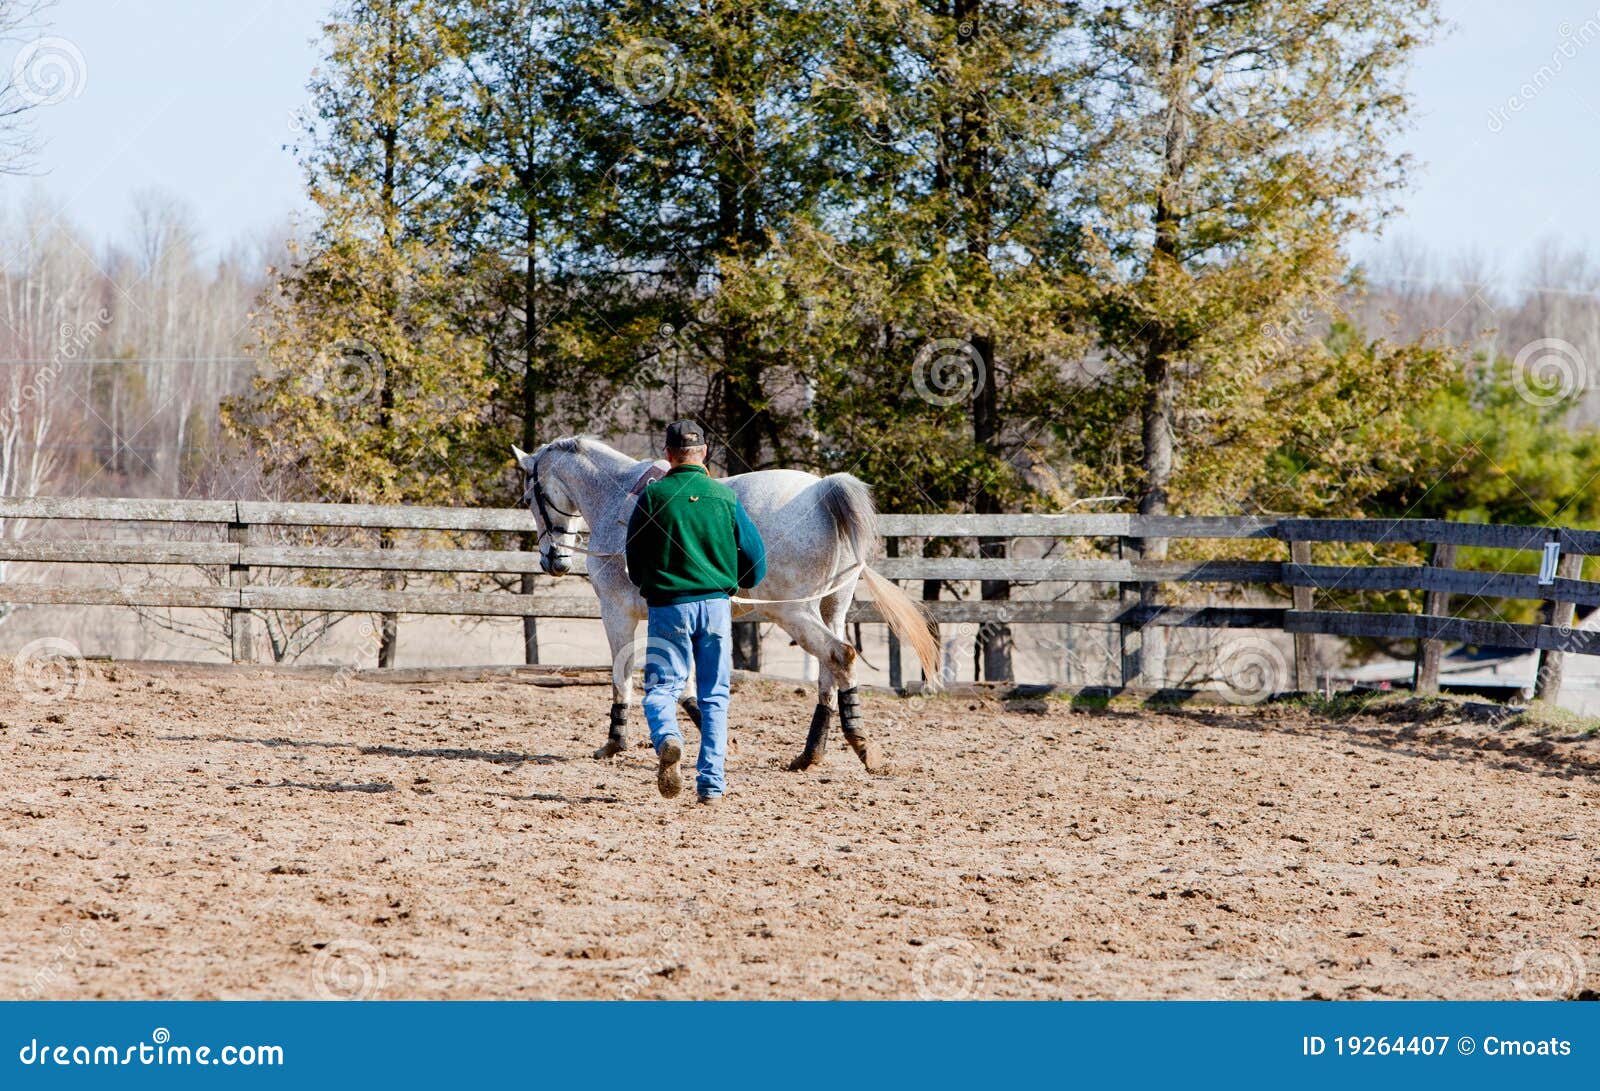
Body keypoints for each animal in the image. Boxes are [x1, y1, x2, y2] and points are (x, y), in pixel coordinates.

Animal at [511, 436, 941, 773]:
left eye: (530, 497)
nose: (553, 561)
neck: (617, 499)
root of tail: (824, 491)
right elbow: (681, 681)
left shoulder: (618, 612)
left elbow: (623, 672)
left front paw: (615, 742)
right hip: (832, 606)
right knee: (829, 670)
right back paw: (812, 754)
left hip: (793, 612)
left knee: (840, 656)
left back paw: (858, 744)